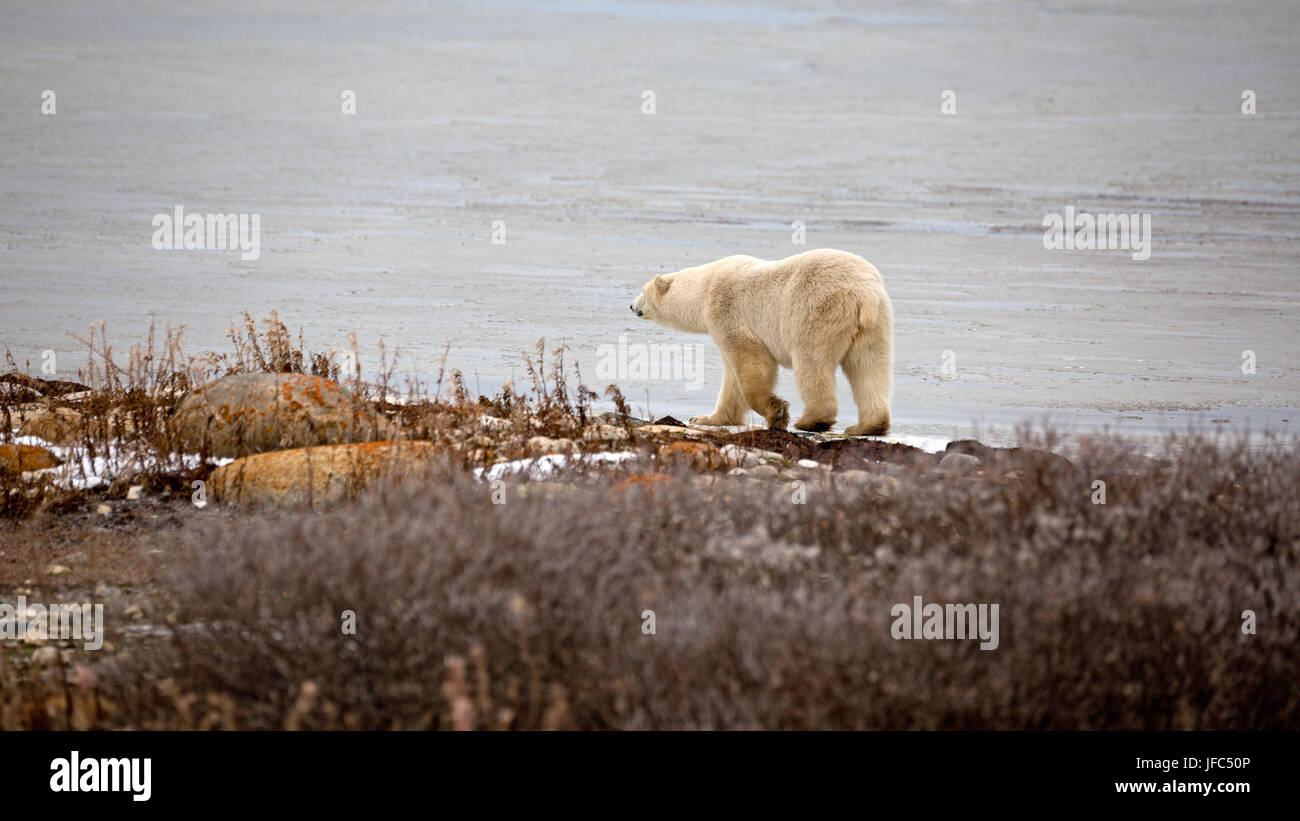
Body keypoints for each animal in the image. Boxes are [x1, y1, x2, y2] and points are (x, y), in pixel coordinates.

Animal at [630, 248, 893, 435]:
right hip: (874, 325)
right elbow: (732, 381)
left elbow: (751, 362)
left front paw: (777, 412)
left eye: (642, 291)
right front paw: (706, 418)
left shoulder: (728, 312)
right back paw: (868, 425)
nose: (631, 305)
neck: (704, 289)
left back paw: (811, 420)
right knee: (869, 368)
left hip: (816, 312)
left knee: (812, 363)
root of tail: (863, 294)